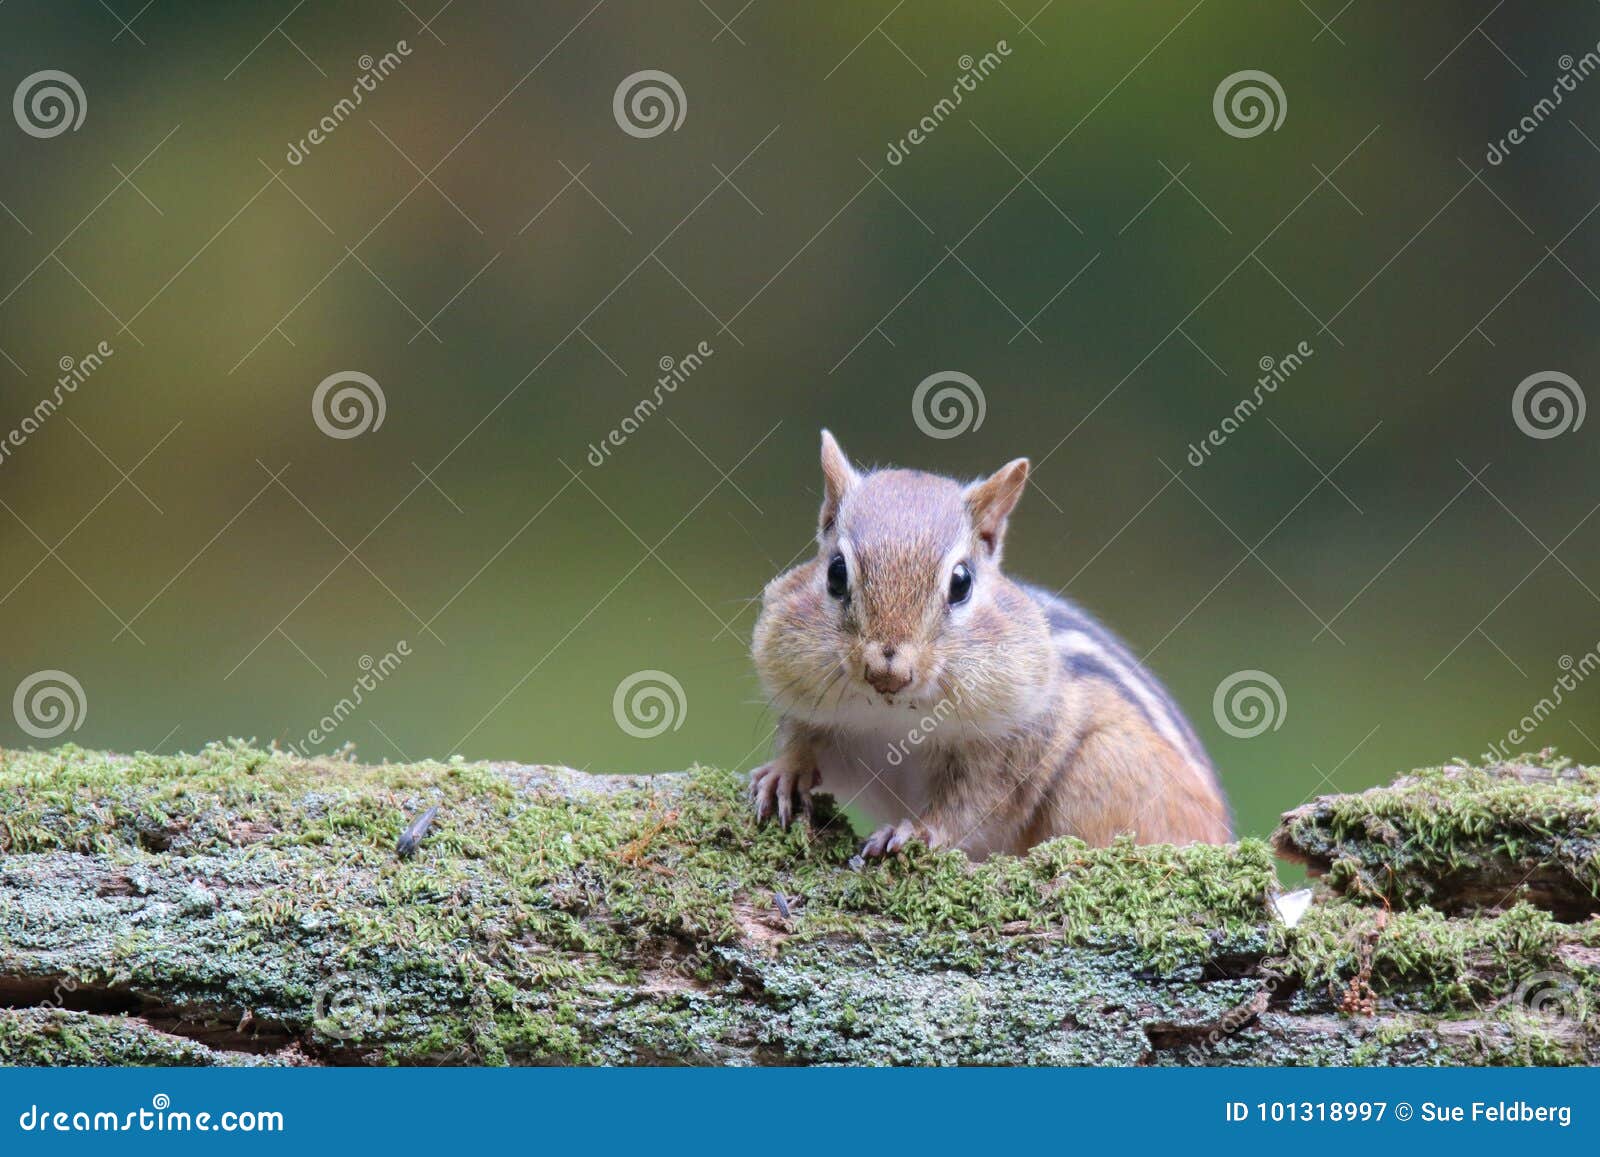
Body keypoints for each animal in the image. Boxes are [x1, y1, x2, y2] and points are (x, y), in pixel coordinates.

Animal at [749, 431, 1232, 860]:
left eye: (961, 582)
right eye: (835, 572)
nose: (888, 673)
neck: (893, 718)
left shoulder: (1016, 748)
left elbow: (974, 805)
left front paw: (917, 831)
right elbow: (804, 741)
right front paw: (783, 773)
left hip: (1105, 766)